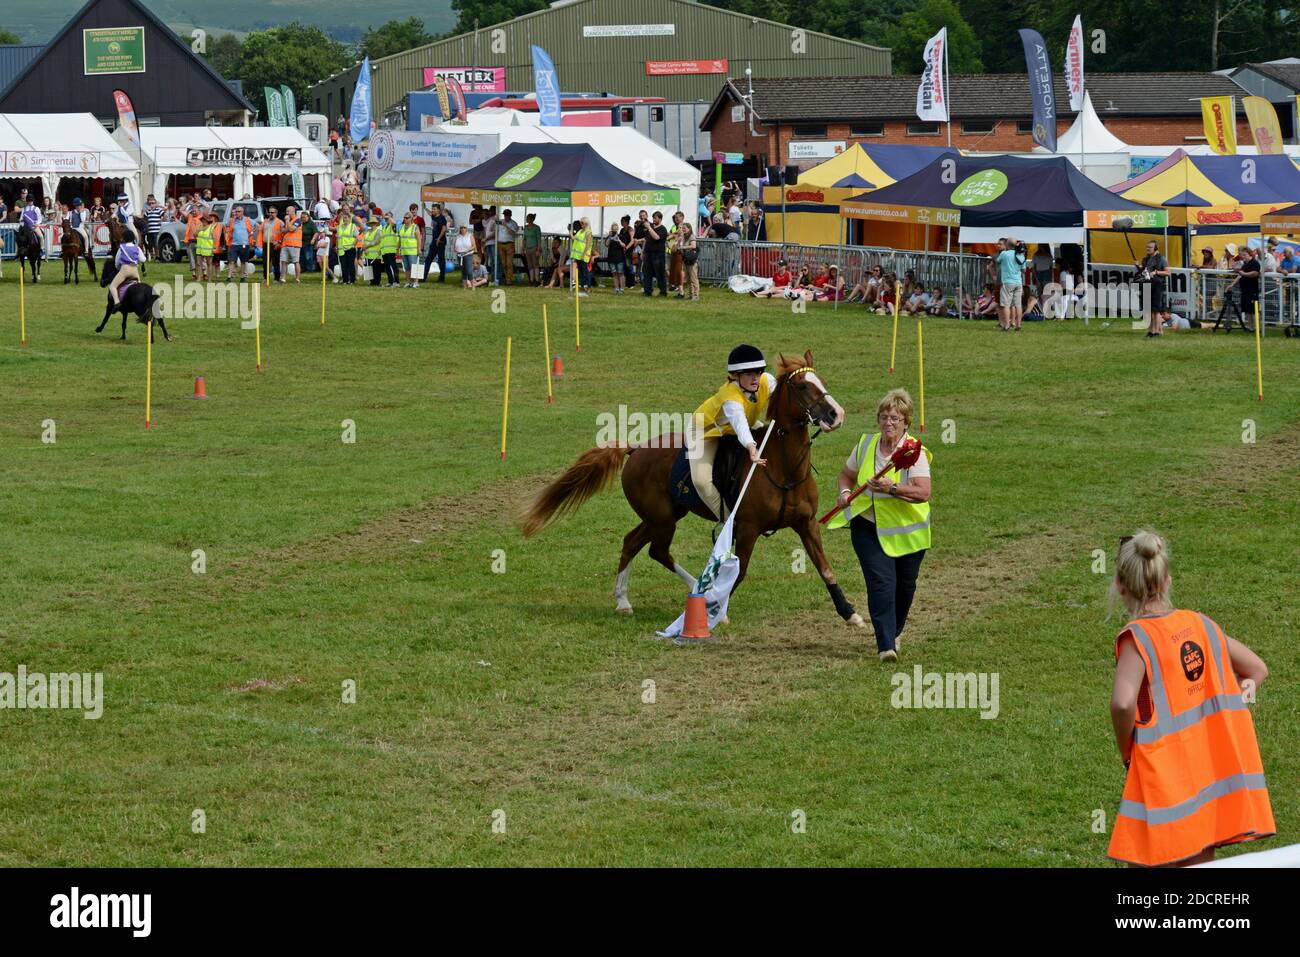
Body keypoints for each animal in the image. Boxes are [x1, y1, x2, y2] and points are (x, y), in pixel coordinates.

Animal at [522, 351, 866, 629]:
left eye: (822, 380)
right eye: (803, 387)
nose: (836, 414)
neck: (783, 467)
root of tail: (636, 450)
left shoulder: (806, 525)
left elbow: (825, 569)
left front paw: (850, 613)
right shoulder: (748, 529)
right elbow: (740, 571)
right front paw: (718, 610)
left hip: (664, 516)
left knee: (632, 542)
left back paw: (624, 601)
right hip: (662, 520)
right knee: (657, 551)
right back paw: (696, 591)